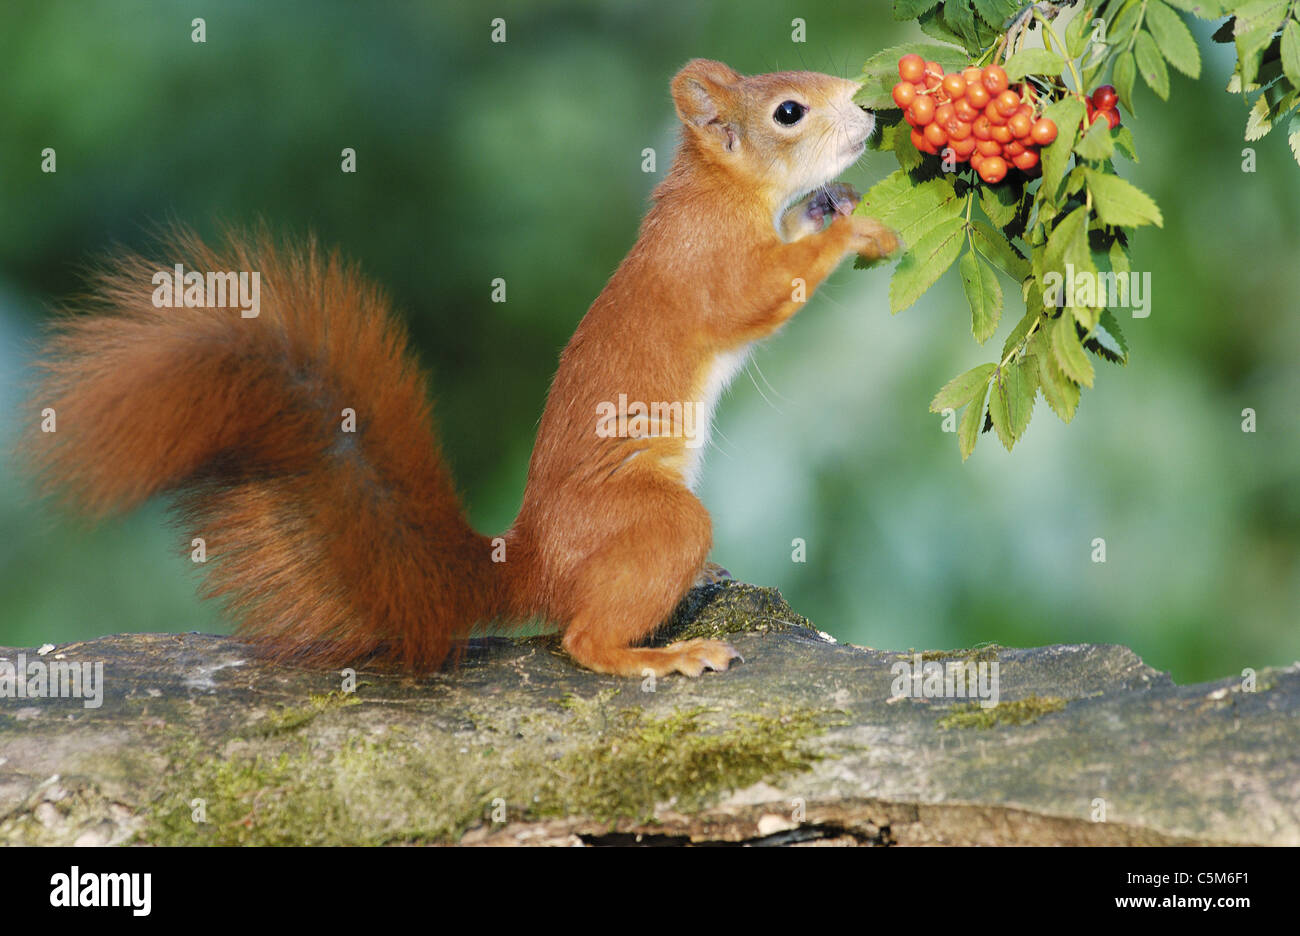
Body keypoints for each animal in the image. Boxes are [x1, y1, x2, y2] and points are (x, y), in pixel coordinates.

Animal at [27, 59, 898, 678]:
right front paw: (854, 231)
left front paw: (834, 204)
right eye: (789, 111)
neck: (715, 190)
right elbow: (762, 292)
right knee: (581, 638)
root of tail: (535, 562)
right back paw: (662, 654)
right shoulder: (712, 269)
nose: (870, 111)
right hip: (656, 522)